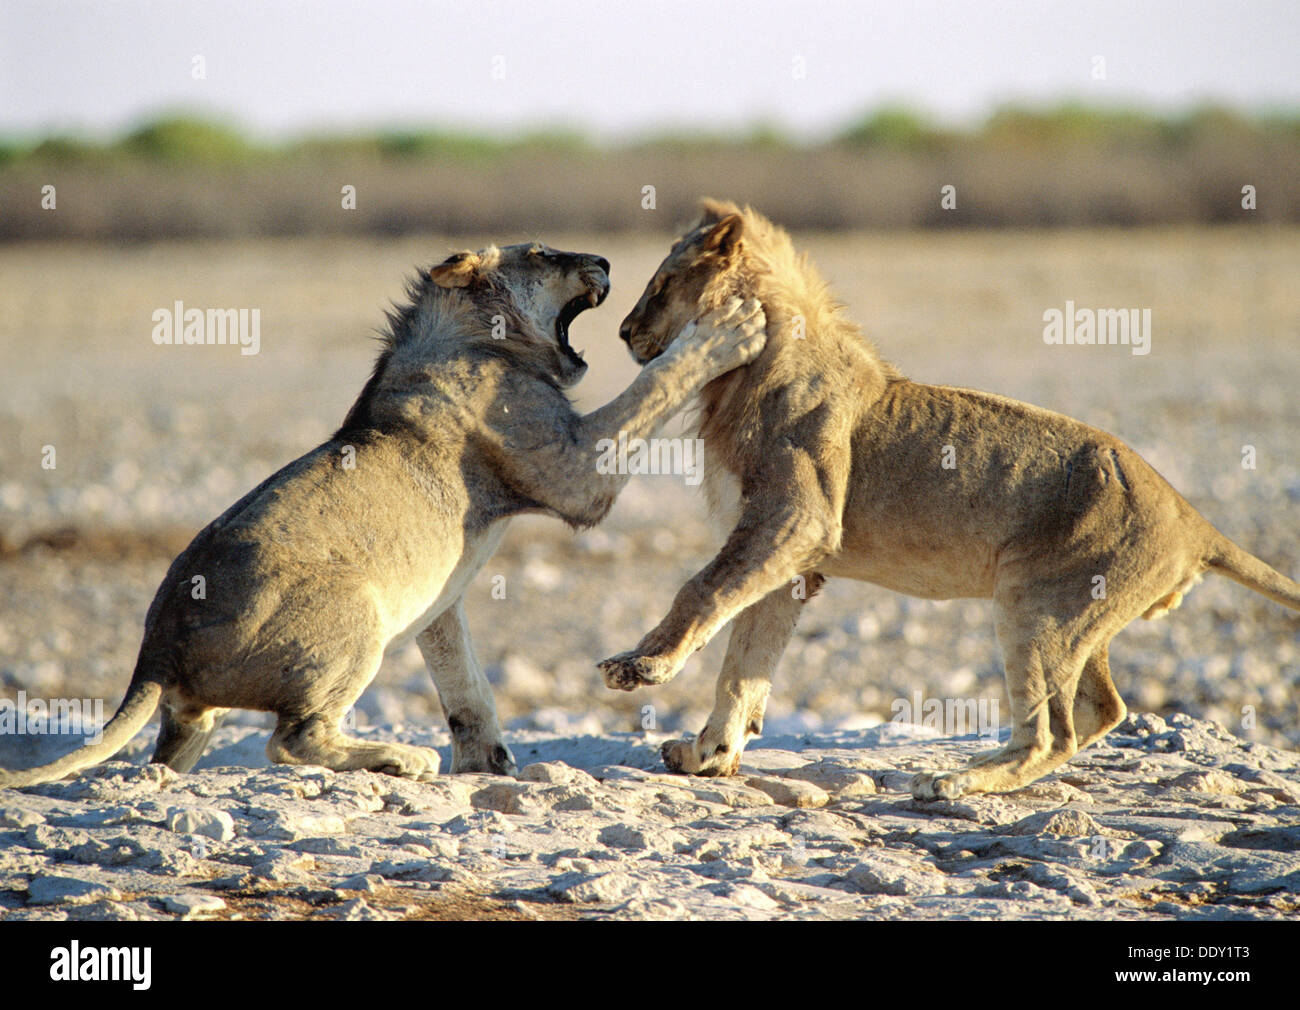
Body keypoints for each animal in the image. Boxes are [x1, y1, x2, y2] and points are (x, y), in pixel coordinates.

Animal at [0, 243, 766, 788]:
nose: (603, 261)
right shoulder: (578, 473)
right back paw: (400, 758)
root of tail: (156, 645)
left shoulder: (437, 596)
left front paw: (487, 763)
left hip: (200, 713)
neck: (480, 336)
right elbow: (656, 381)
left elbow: (463, 680)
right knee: (292, 739)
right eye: (543, 253)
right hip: (359, 609)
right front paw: (731, 327)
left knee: (176, 752)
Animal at [599, 198, 1300, 799]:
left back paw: (955, 780)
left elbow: (703, 593)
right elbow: (745, 661)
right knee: (1102, 707)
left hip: (1032, 601)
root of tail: (1191, 516)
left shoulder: (795, 520)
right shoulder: (793, 560)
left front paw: (642, 665)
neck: (739, 372)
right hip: (1076, 611)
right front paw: (708, 754)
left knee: (1053, 730)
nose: (624, 331)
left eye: (661, 285)